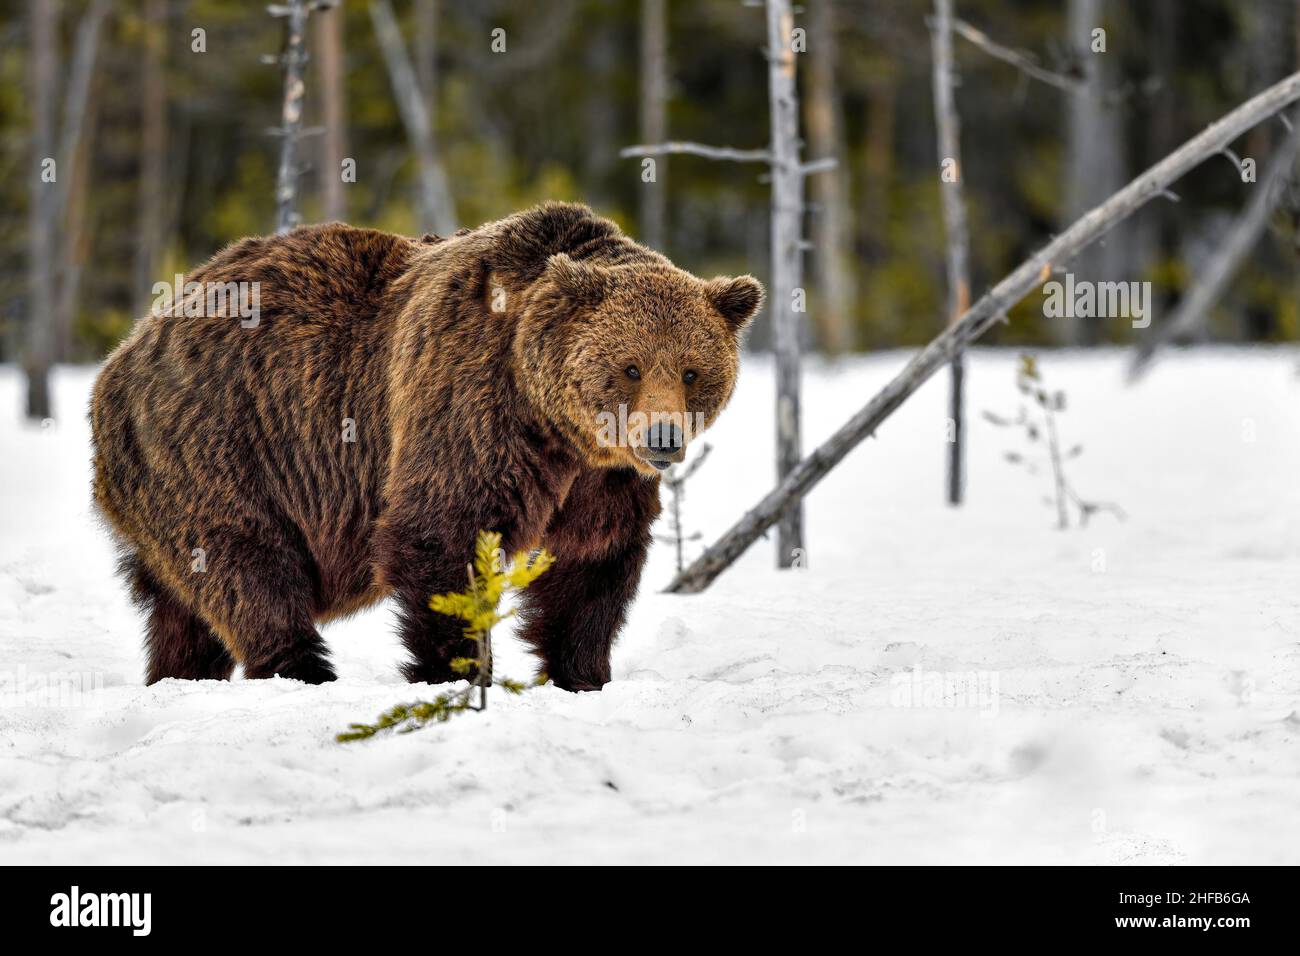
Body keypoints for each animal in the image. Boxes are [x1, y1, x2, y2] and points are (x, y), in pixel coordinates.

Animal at [90, 202, 763, 691]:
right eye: (630, 366)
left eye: (693, 371)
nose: (662, 437)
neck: (554, 425)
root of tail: (128, 348)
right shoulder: (470, 397)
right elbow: (442, 530)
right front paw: (457, 671)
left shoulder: (600, 479)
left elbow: (591, 565)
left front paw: (581, 673)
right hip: (221, 442)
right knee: (246, 565)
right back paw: (300, 667)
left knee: (178, 605)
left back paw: (178, 676)